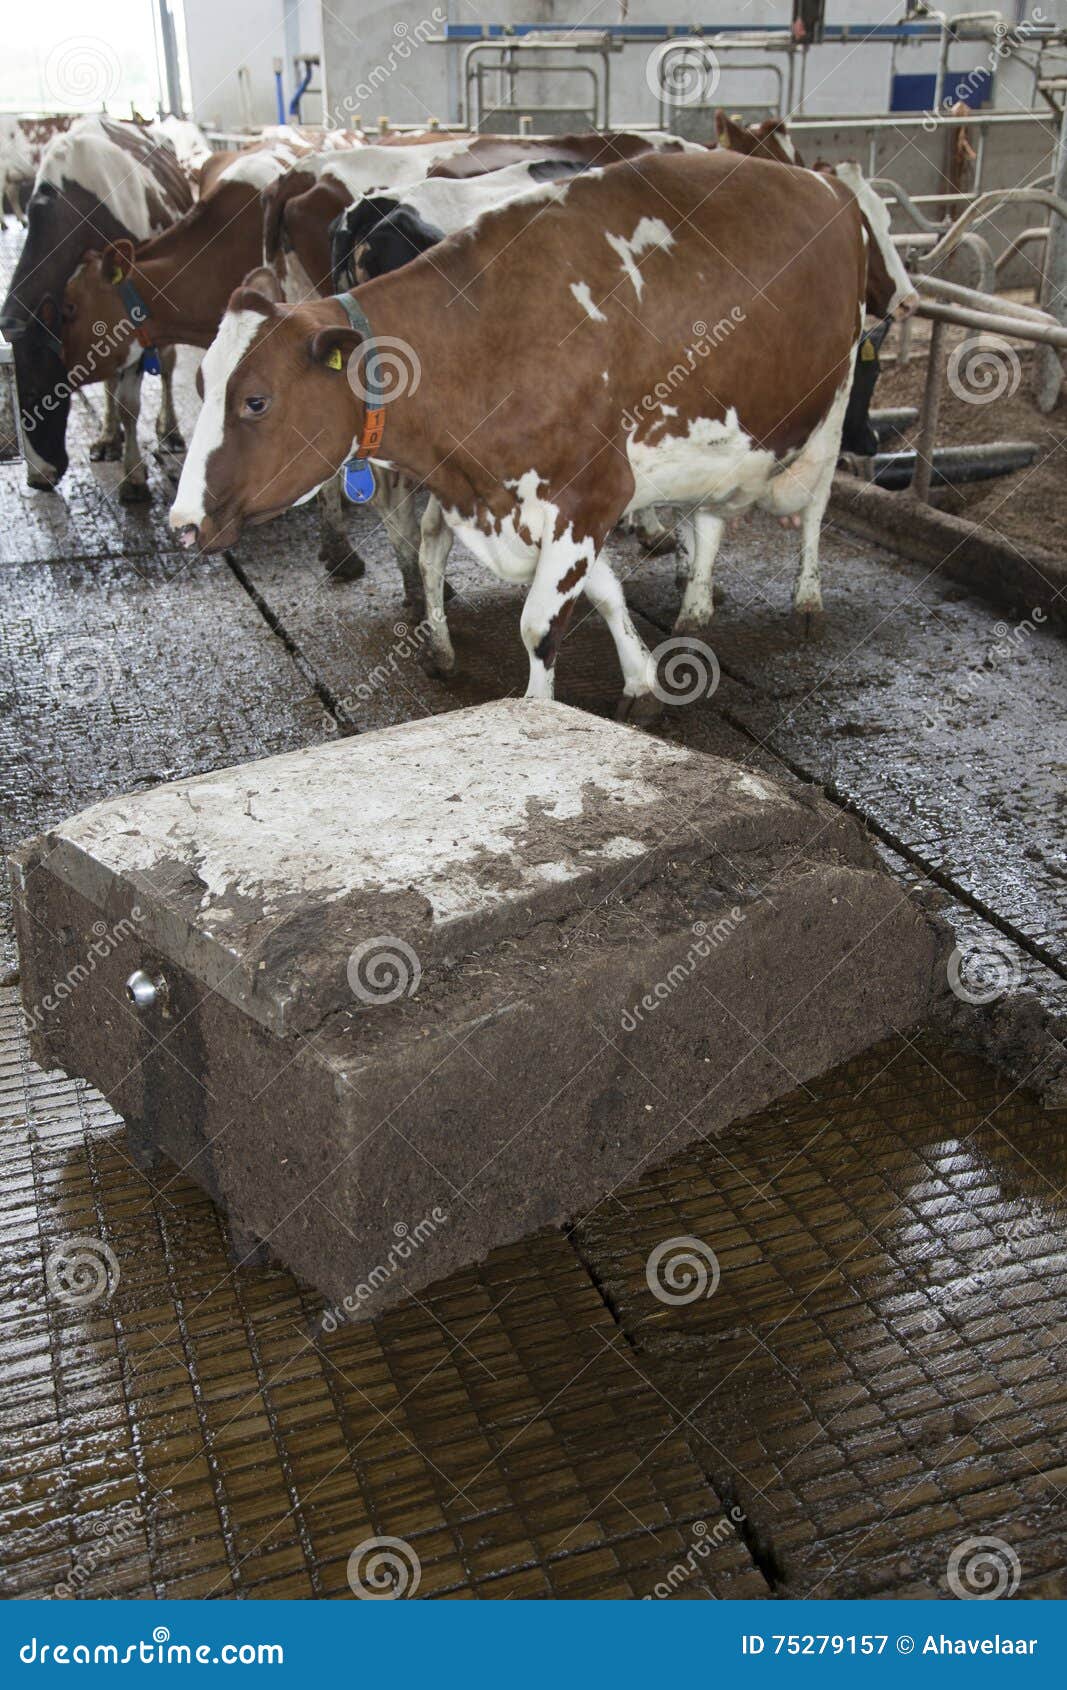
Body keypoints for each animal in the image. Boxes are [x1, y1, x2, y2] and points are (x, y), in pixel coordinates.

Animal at [0, 115, 192, 496]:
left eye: (34, 392)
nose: (38, 478)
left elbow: (131, 404)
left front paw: (134, 477)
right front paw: (113, 441)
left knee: (166, 366)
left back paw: (169, 431)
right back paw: (108, 436)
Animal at [169, 150, 917, 713]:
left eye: (256, 401)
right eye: (203, 385)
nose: (181, 524)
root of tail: (820, 181)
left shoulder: (589, 493)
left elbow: (537, 627)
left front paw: (540, 718)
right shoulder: (544, 502)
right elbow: (605, 592)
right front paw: (643, 679)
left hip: (831, 408)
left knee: (815, 508)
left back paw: (806, 599)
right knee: (708, 518)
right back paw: (696, 606)